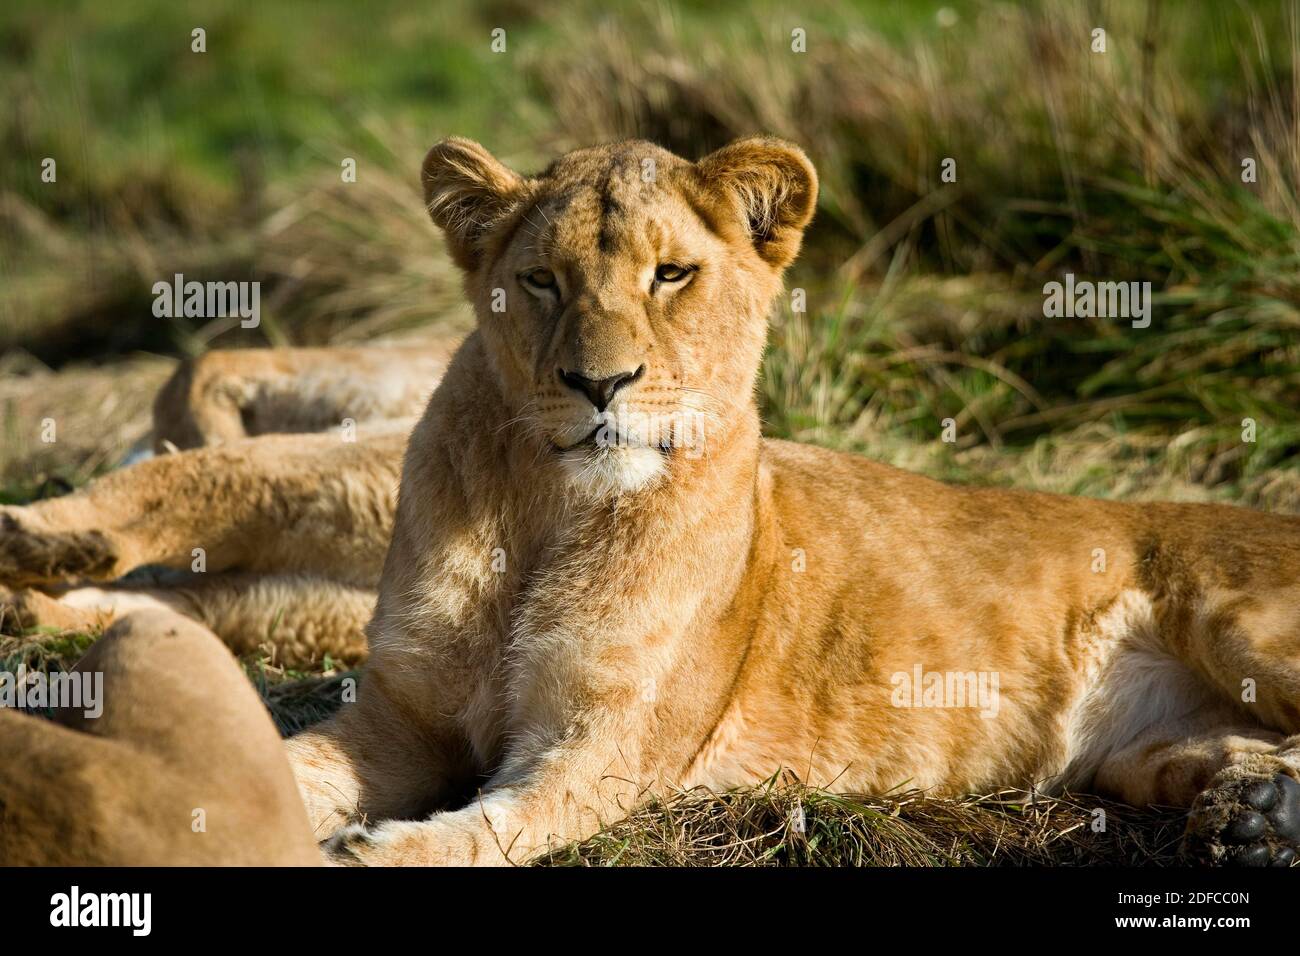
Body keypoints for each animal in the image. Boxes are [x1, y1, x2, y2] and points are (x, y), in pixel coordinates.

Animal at [3, 136, 1299, 867]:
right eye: (539, 281)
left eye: (671, 274)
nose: (600, 382)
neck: (543, 515)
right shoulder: (398, 721)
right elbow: (279, 754)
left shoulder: (601, 748)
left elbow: (495, 829)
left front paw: (376, 848)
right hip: (1142, 747)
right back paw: (1253, 811)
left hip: (1240, 623)